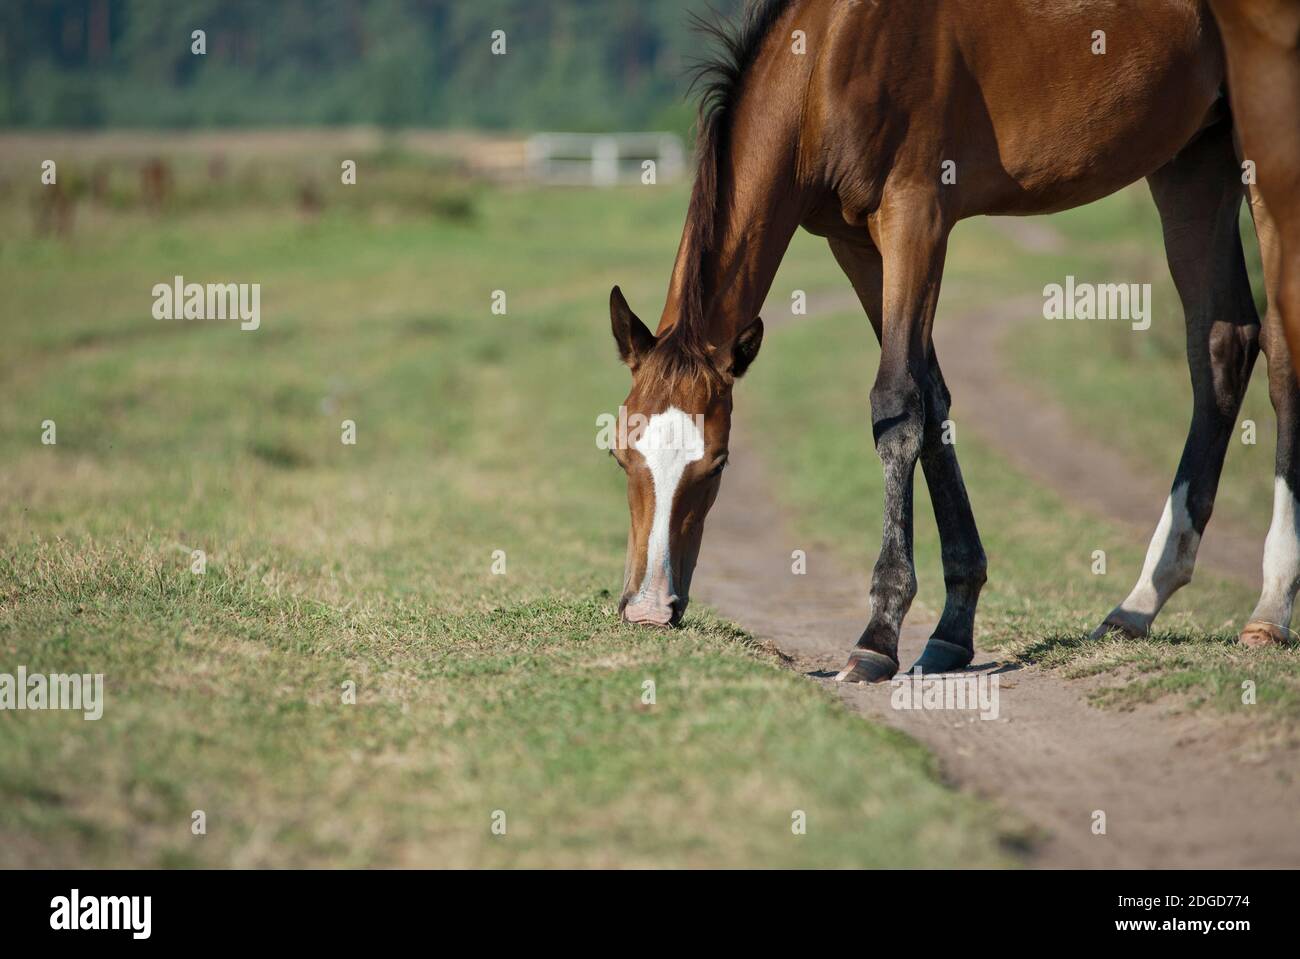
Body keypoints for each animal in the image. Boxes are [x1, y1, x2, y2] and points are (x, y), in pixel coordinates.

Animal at [608, 0, 1299, 681]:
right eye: (620, 456)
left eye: (718, 463)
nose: (647, 610)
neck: (830, 53)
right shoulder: (856, 244)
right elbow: (930, 401)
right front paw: (951, 629)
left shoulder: (916, 217)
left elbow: (896, 405)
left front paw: (879, 634)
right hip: (1193, 159)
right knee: (1222, 343)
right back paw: (1138, 604)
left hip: (1269, 154)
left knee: (1283, 353)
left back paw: (1269, 609)